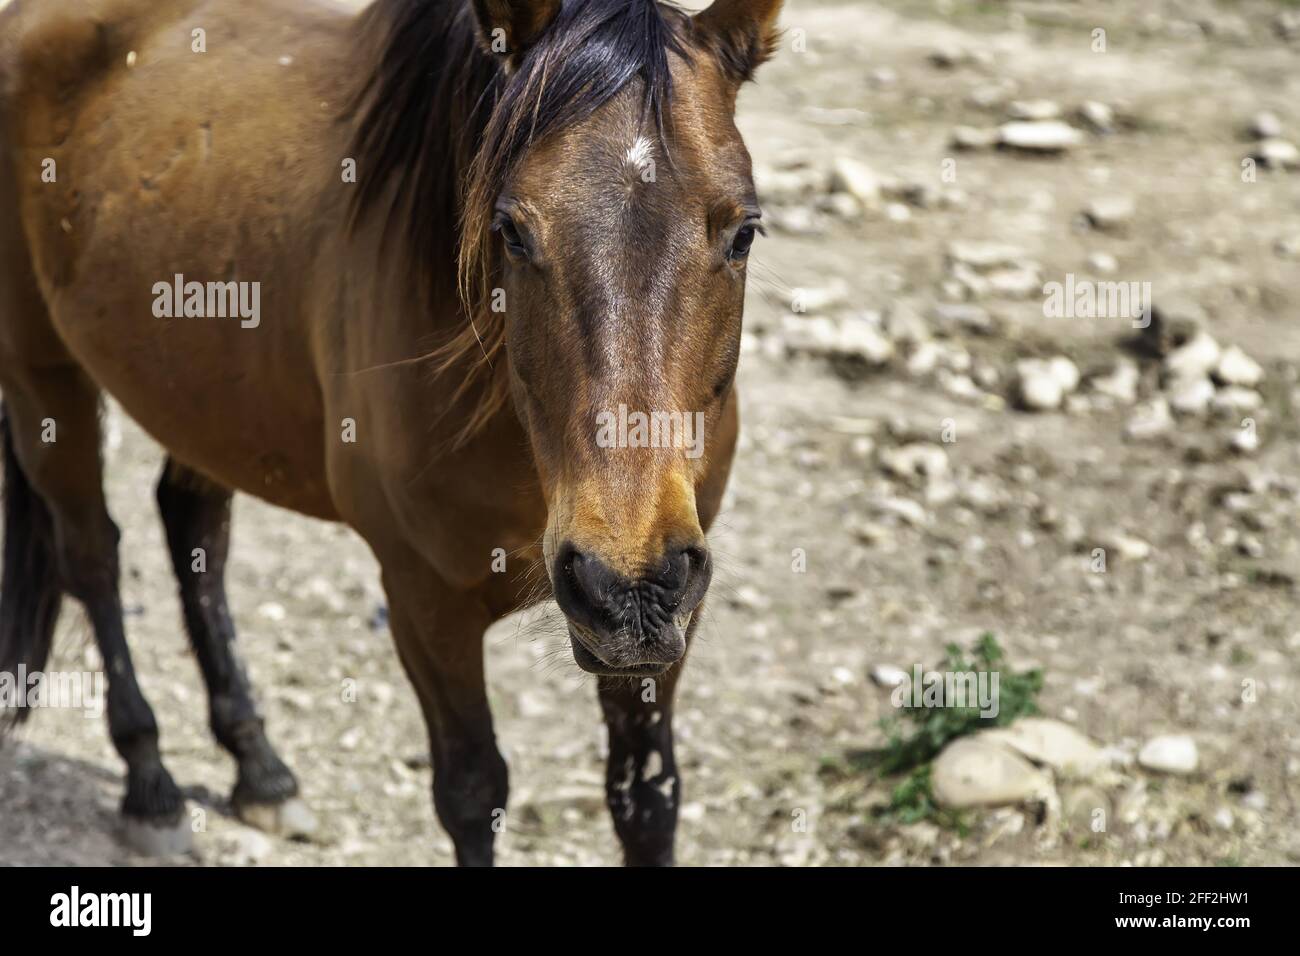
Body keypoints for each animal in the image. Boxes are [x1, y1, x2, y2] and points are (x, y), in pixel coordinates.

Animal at [0, 0, 783, 866]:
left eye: (744, 231)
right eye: (512, 231)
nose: (629, 583)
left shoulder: (671, 619)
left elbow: (646, 798)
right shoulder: (421, 597)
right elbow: (472, 793)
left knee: (192, 531)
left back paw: (258, 768)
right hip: (43, 377)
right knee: (93, 556)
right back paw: (151, 784)